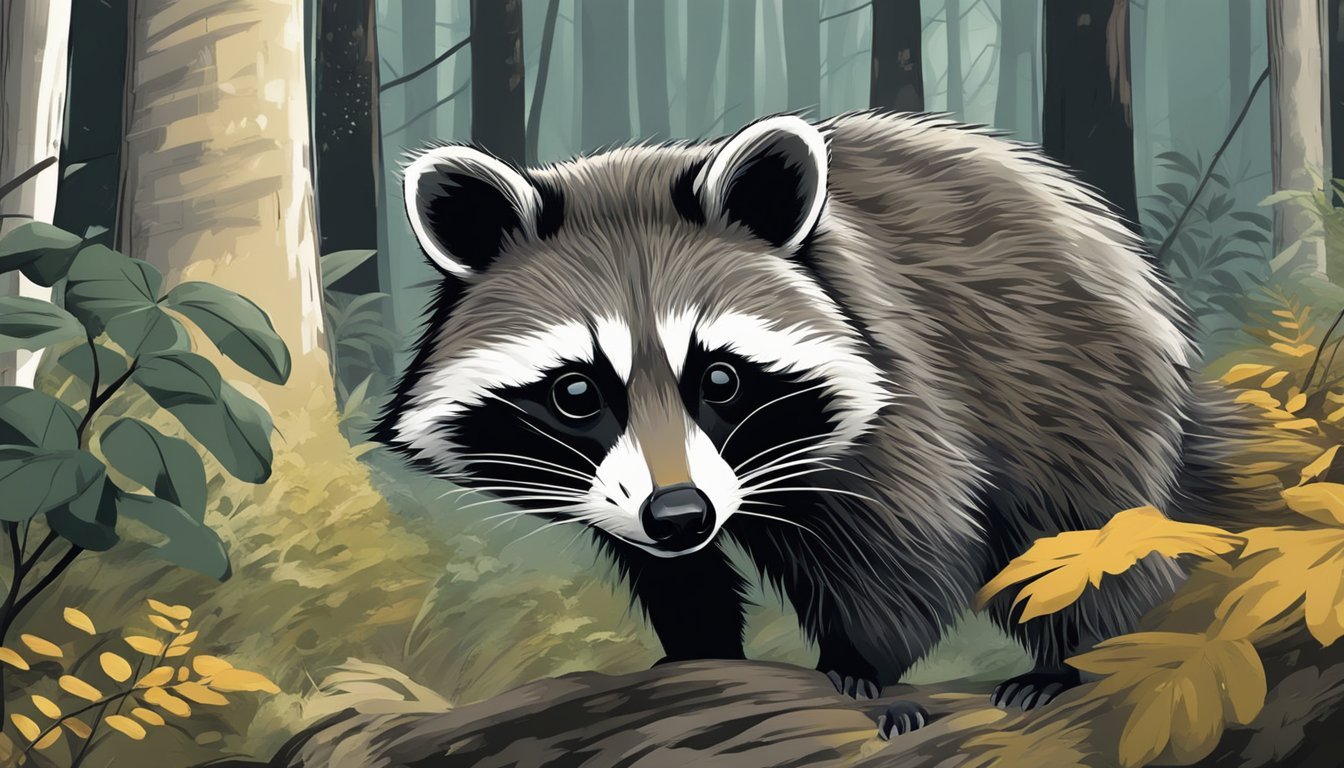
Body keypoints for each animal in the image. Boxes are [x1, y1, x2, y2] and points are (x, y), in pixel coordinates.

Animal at [378, 112, 1272, 737]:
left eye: (721, 377)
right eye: (576, 393)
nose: (681, 515)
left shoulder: (902, 378)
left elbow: (913, 542)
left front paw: (859, 666)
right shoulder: (611, 489)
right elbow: (674, 575)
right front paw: (698, 646)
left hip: (1073, 384)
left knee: (1087, 537)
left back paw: (1073, 656)